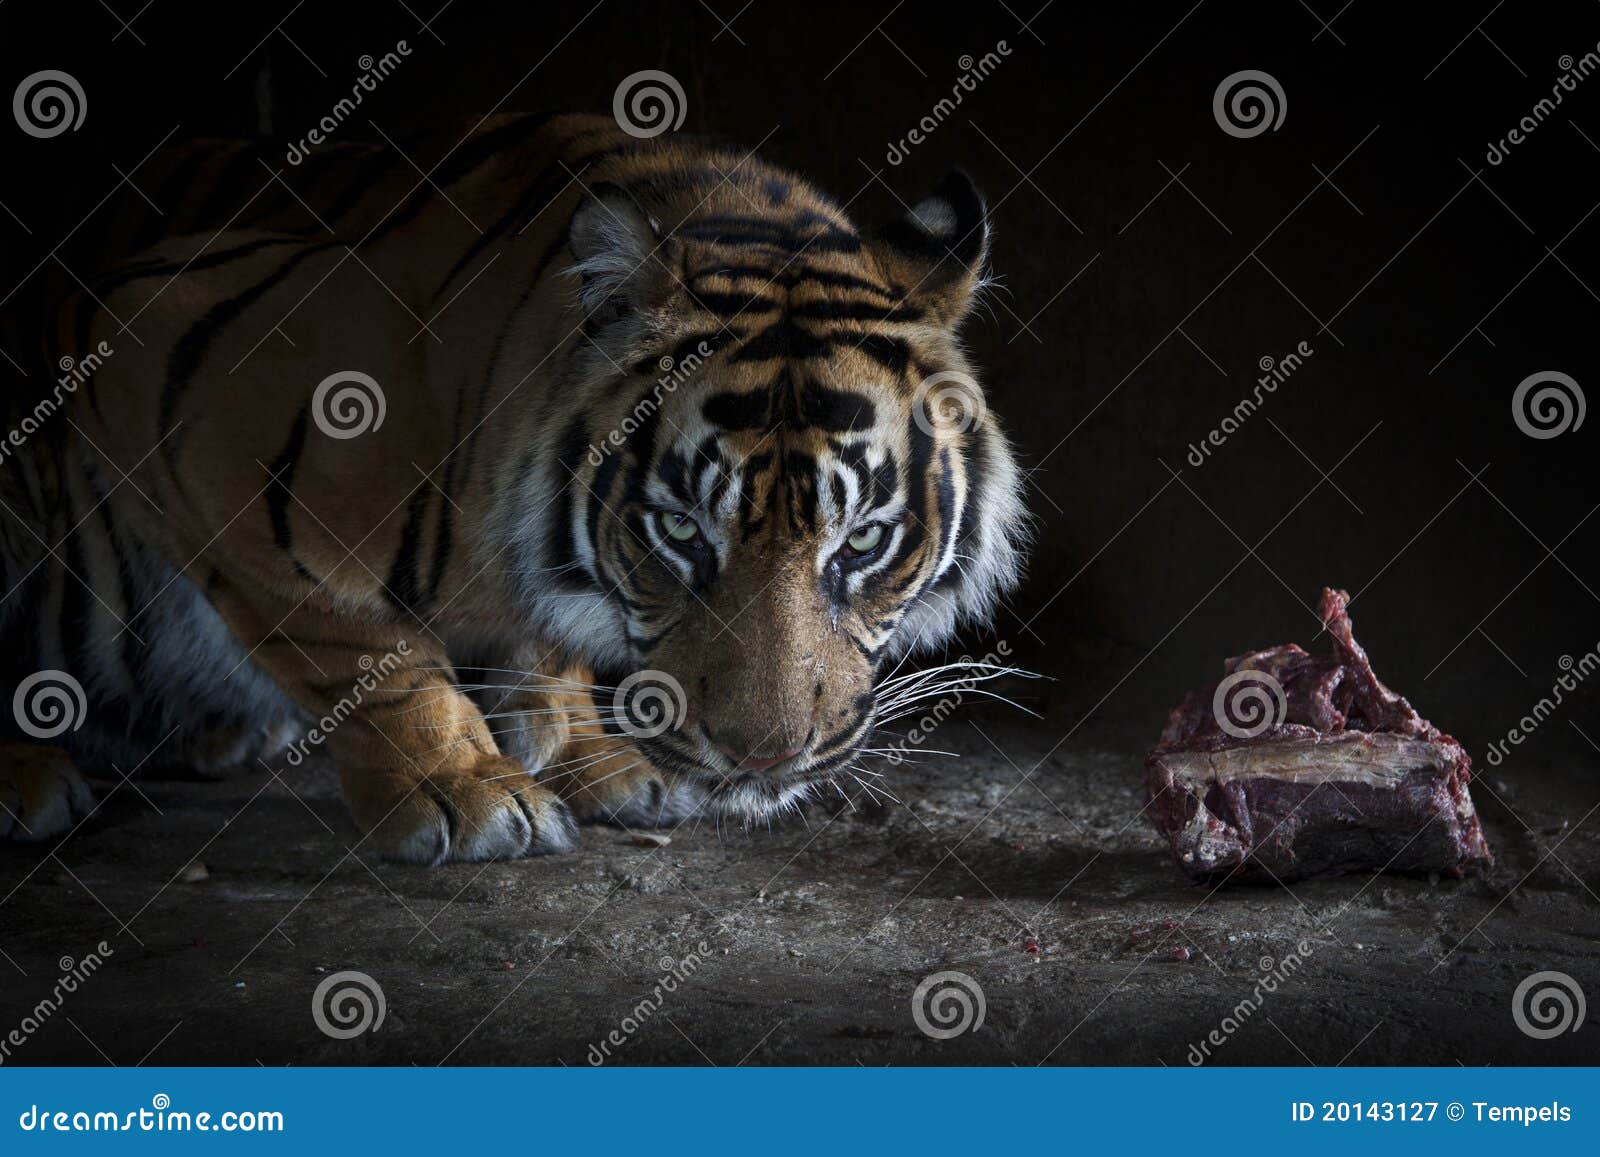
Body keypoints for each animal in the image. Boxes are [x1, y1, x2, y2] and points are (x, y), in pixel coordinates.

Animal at [0, 113, 1027, 864]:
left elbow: (541, 641)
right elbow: (353, 631)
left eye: (862, 541)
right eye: (681, 532)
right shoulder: (162, 349)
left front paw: (587, 755)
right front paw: (459, 787)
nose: (762, 755)